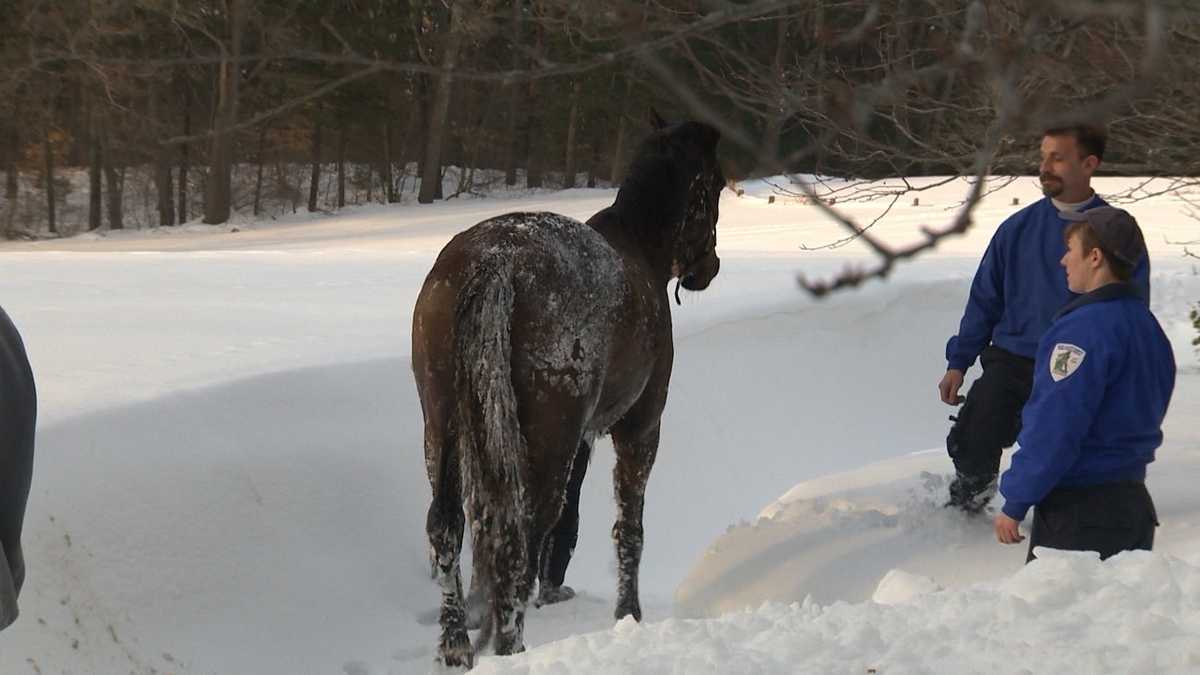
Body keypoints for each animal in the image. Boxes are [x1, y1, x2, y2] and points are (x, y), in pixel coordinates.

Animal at [412, 112, 723, 668]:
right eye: (716, 185)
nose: (708, 268)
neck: (641, 246)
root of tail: (495, 261)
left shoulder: (582, 435)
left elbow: (568, 520)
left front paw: (552, 589)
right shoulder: (638, 427)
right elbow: (628, 527)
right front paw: (628, 613)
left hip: (444, 424)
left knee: (449, 526)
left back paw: (457, 644)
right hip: (546, 435)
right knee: (521, 531)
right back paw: (509, 644)